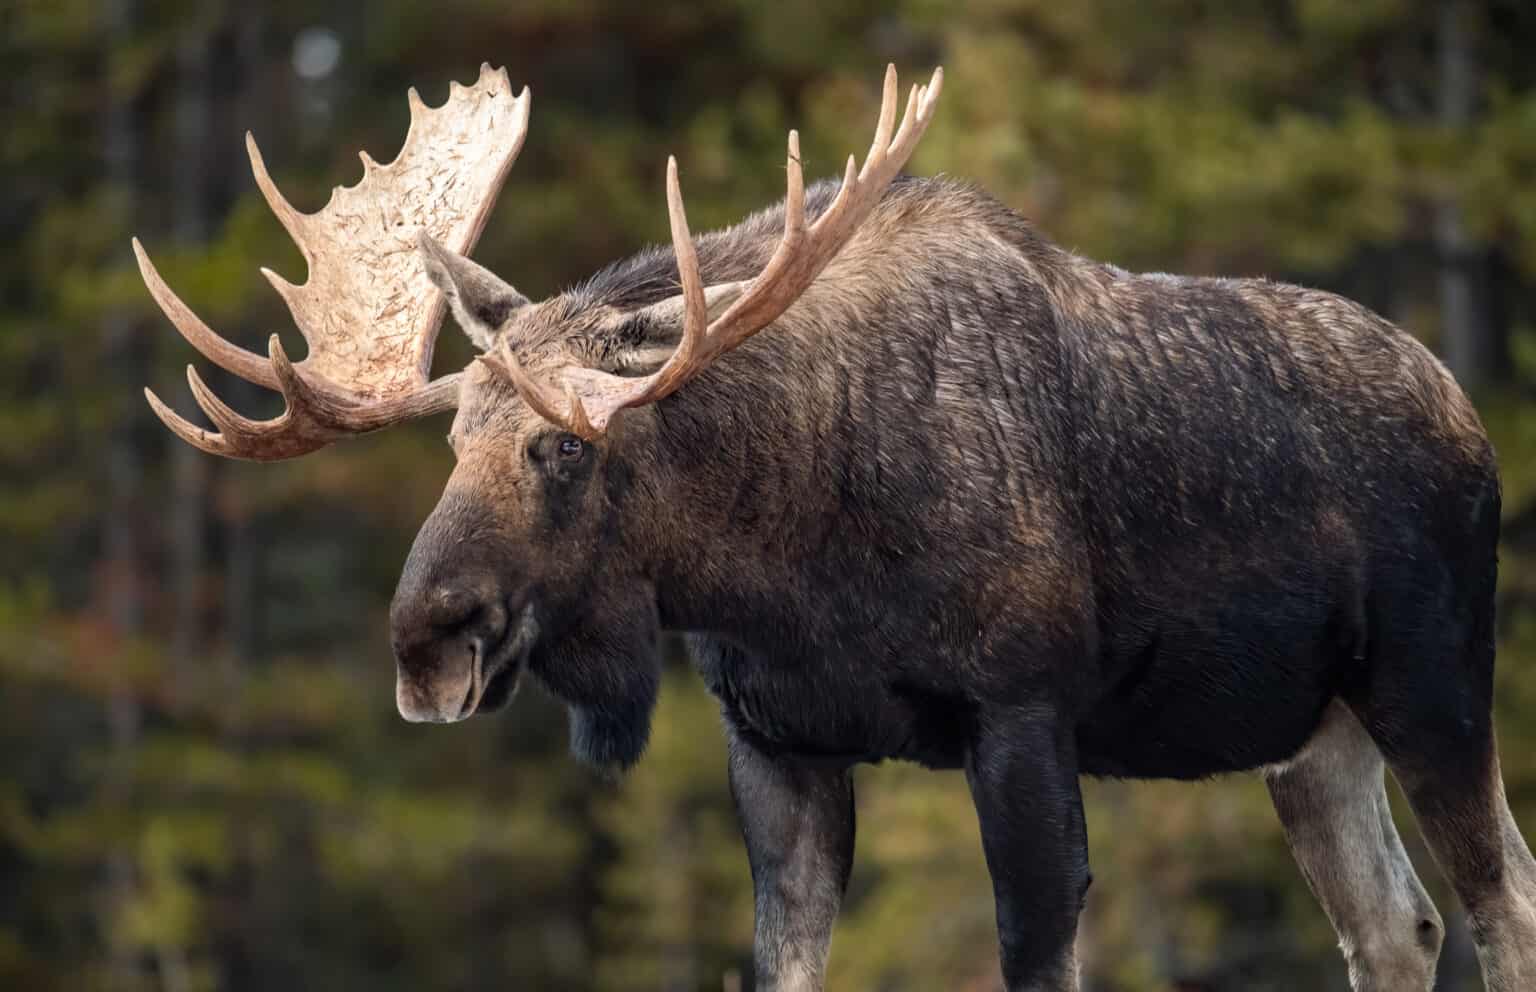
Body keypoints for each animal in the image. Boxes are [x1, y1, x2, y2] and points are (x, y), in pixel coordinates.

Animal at [135, 63, 1536, 991]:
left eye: (565, 445)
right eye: (451, 438)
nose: (428, 637)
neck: (785, 562)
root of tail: (1472, 420)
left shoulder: (1022, 712)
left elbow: (1036, 951)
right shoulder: (778, 741)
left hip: (1431, 680)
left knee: (1501, 896)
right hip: (1309, 733)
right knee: (1397, 922)